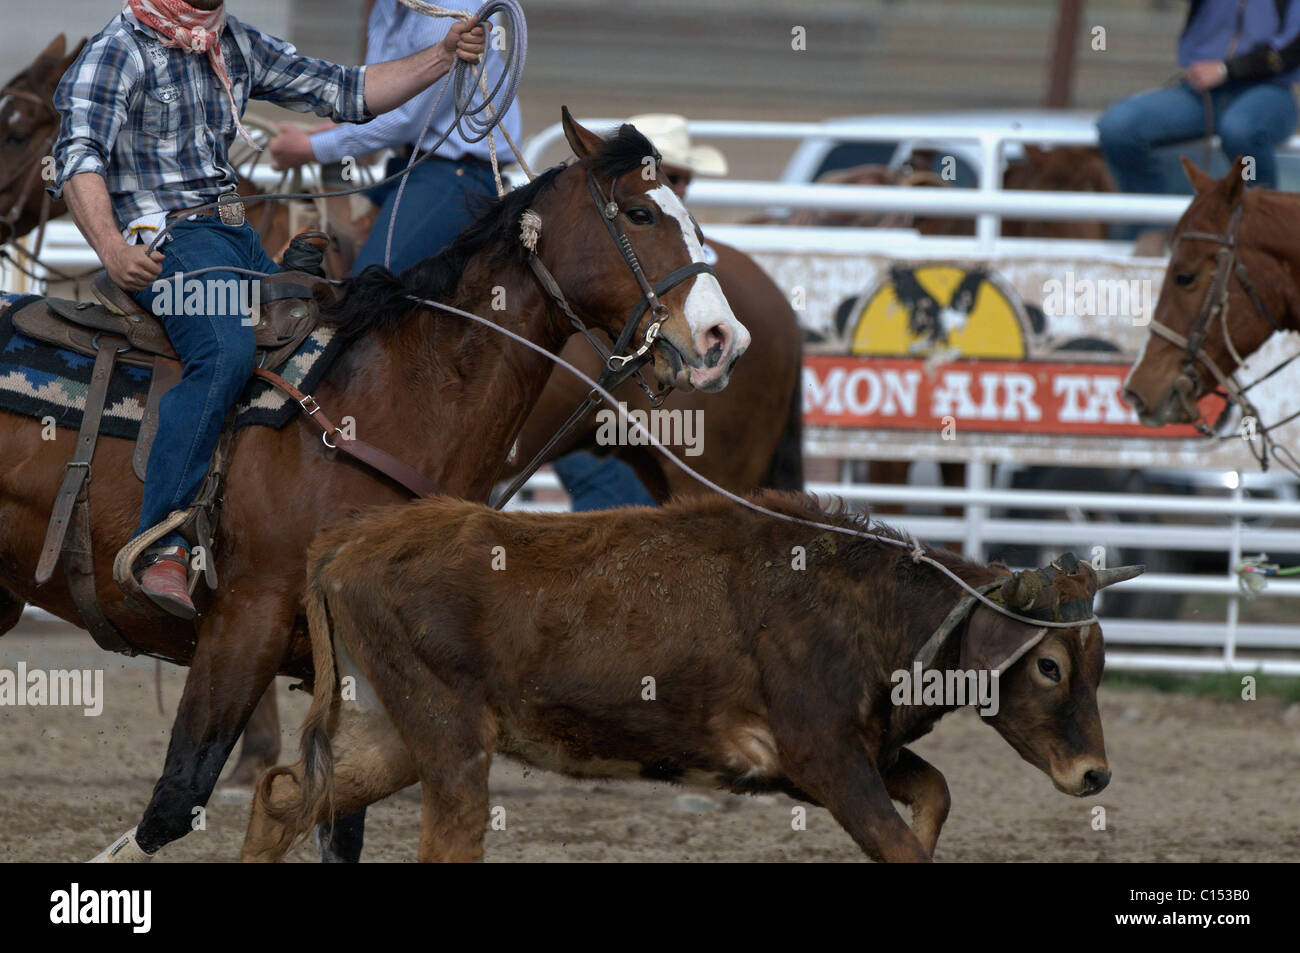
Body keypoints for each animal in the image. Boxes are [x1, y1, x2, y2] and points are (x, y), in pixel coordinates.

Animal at [0, 110, 750, 860]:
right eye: (640, 212)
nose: (724, 338)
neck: (389, 399)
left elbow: (338, 819)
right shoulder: (245, 620)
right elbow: (175, 801)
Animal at [240, 491, 1141, 862]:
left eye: (1098, 663)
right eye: (1050, 664)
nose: (1096, 774)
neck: (862, 604)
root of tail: (348, 541)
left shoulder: (852, 757)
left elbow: (936, 793)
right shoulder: (826, 759)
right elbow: (899, 839)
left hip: (392, 728)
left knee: (285, 797)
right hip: (449, 736)